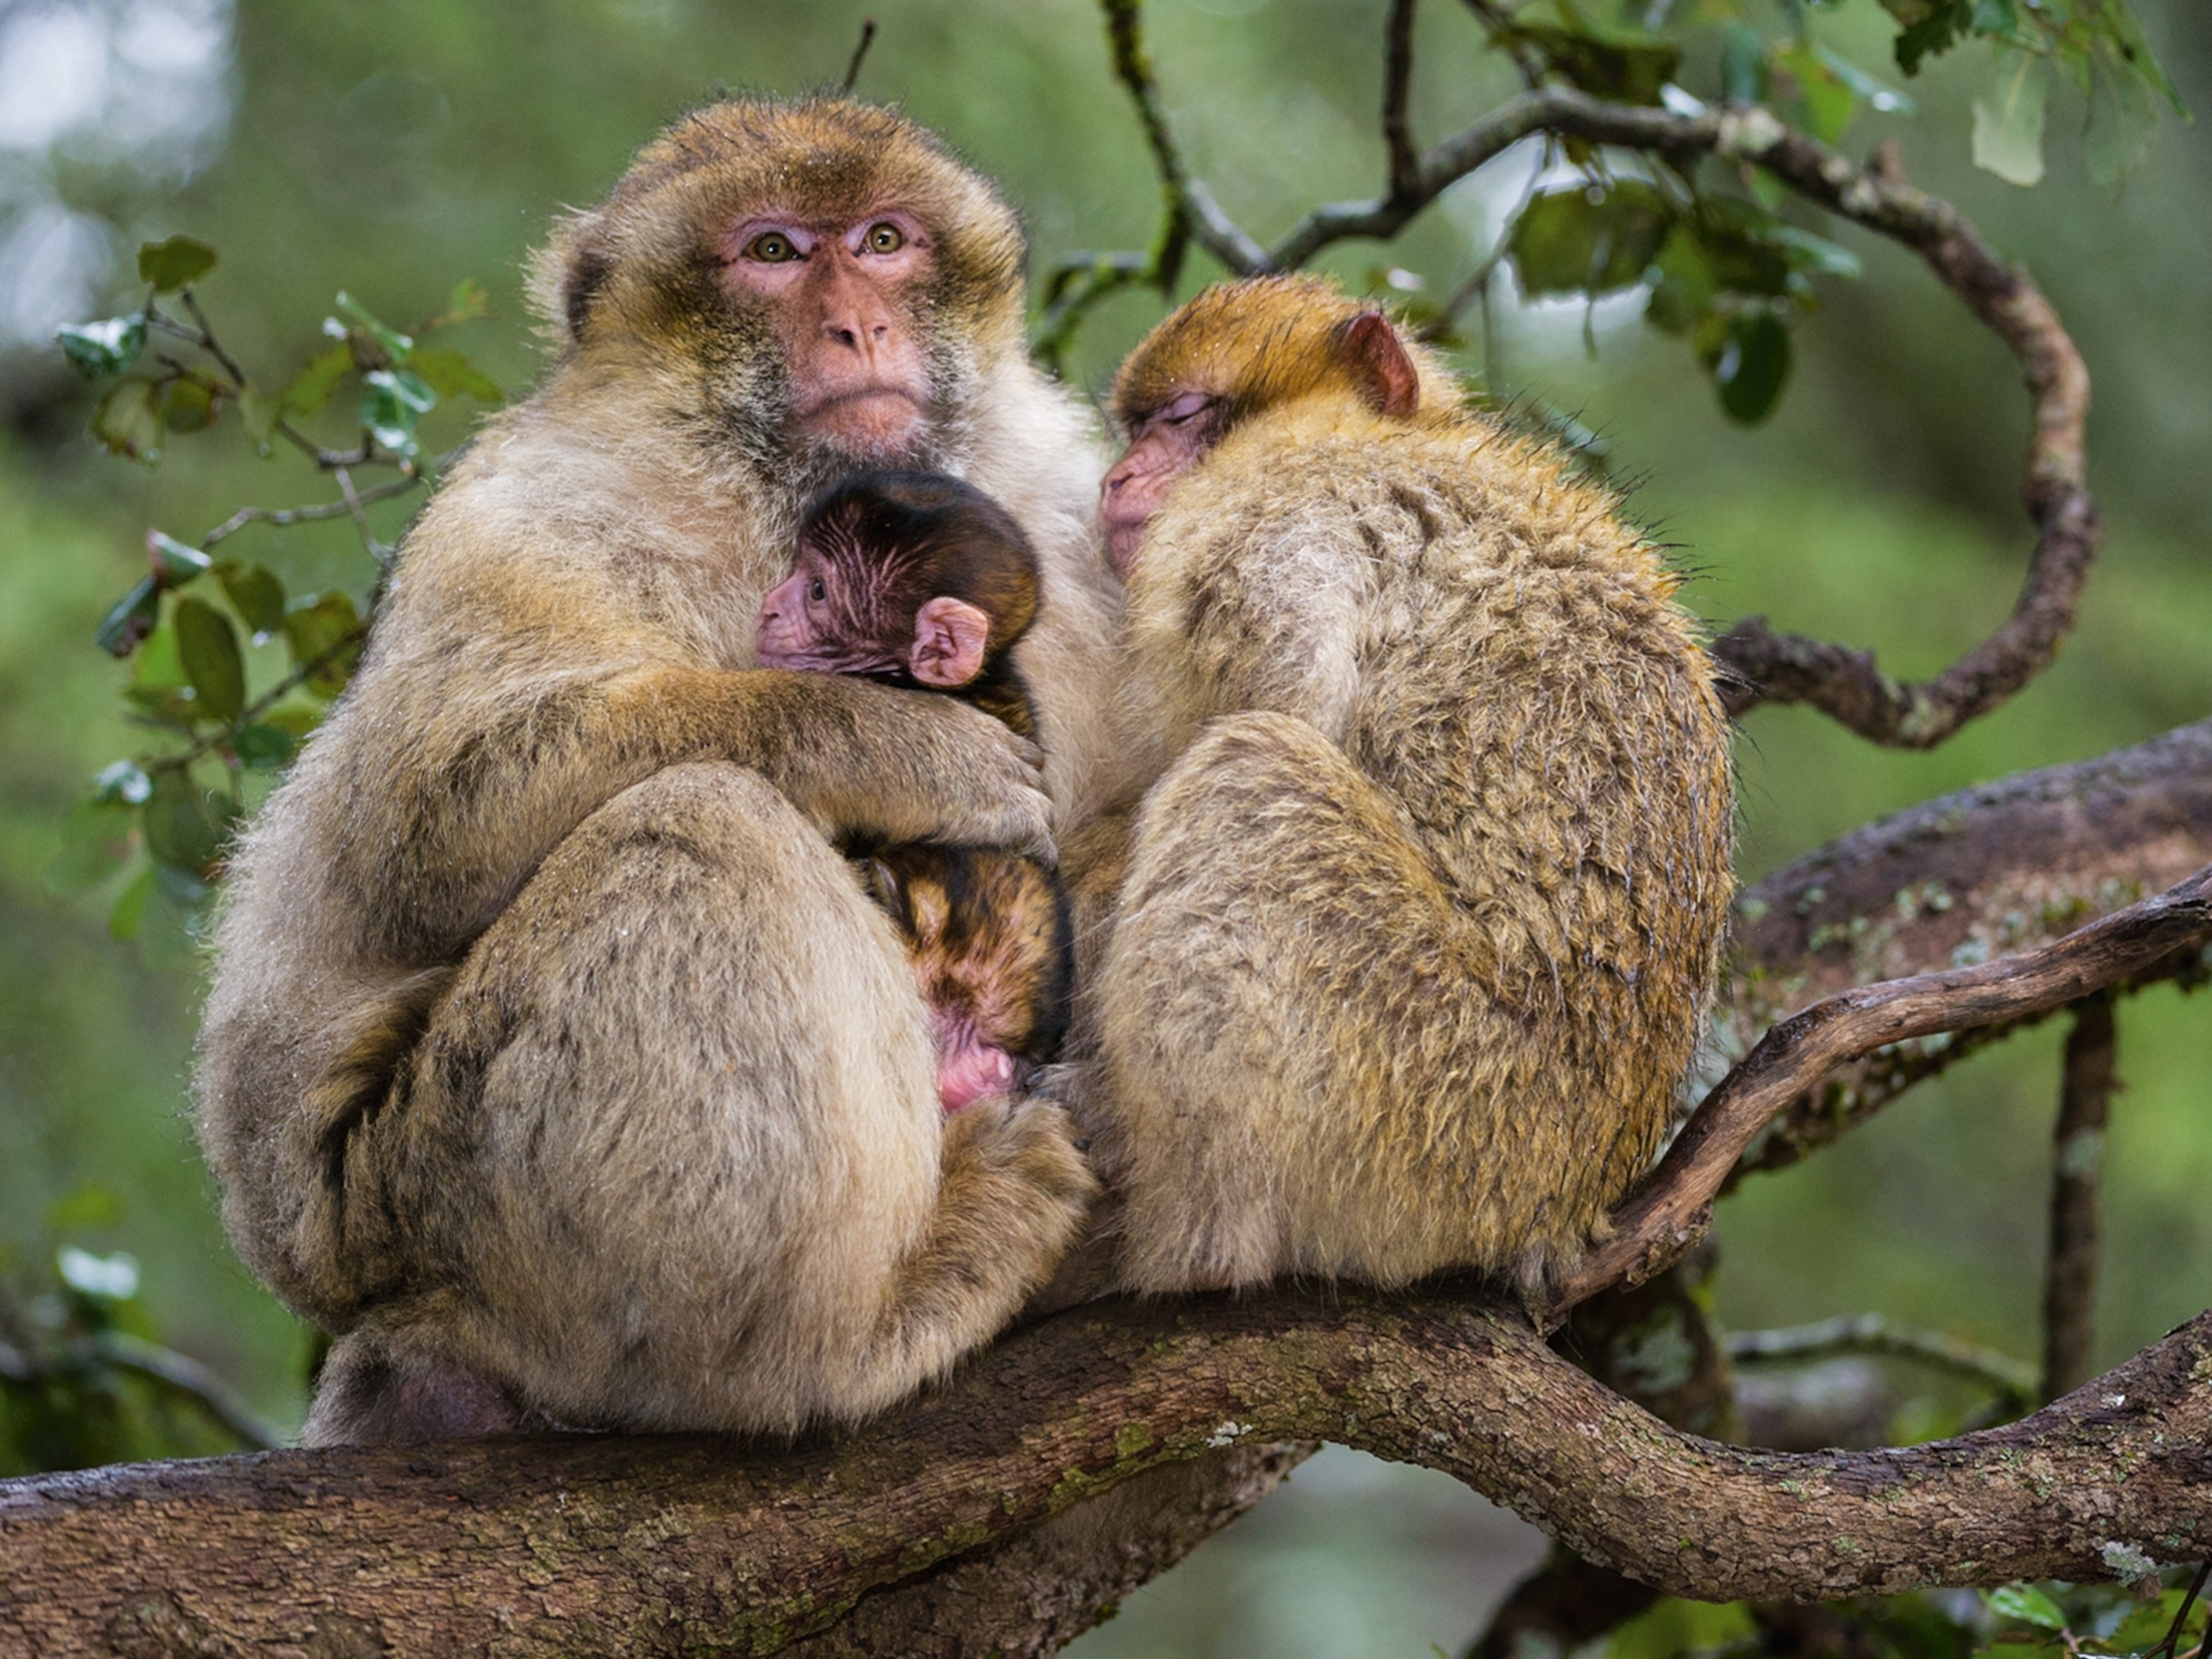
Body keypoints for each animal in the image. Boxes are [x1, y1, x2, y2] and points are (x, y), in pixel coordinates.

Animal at [1080, 274, 1734, 1296]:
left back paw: (1180, 1243)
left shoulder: (1268, 501)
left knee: (1251, 772)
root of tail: (1568, 1203)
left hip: (1442, 1100)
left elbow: (1288, 696)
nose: (1118, 481)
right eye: (1135, 429)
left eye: (1181, 418)